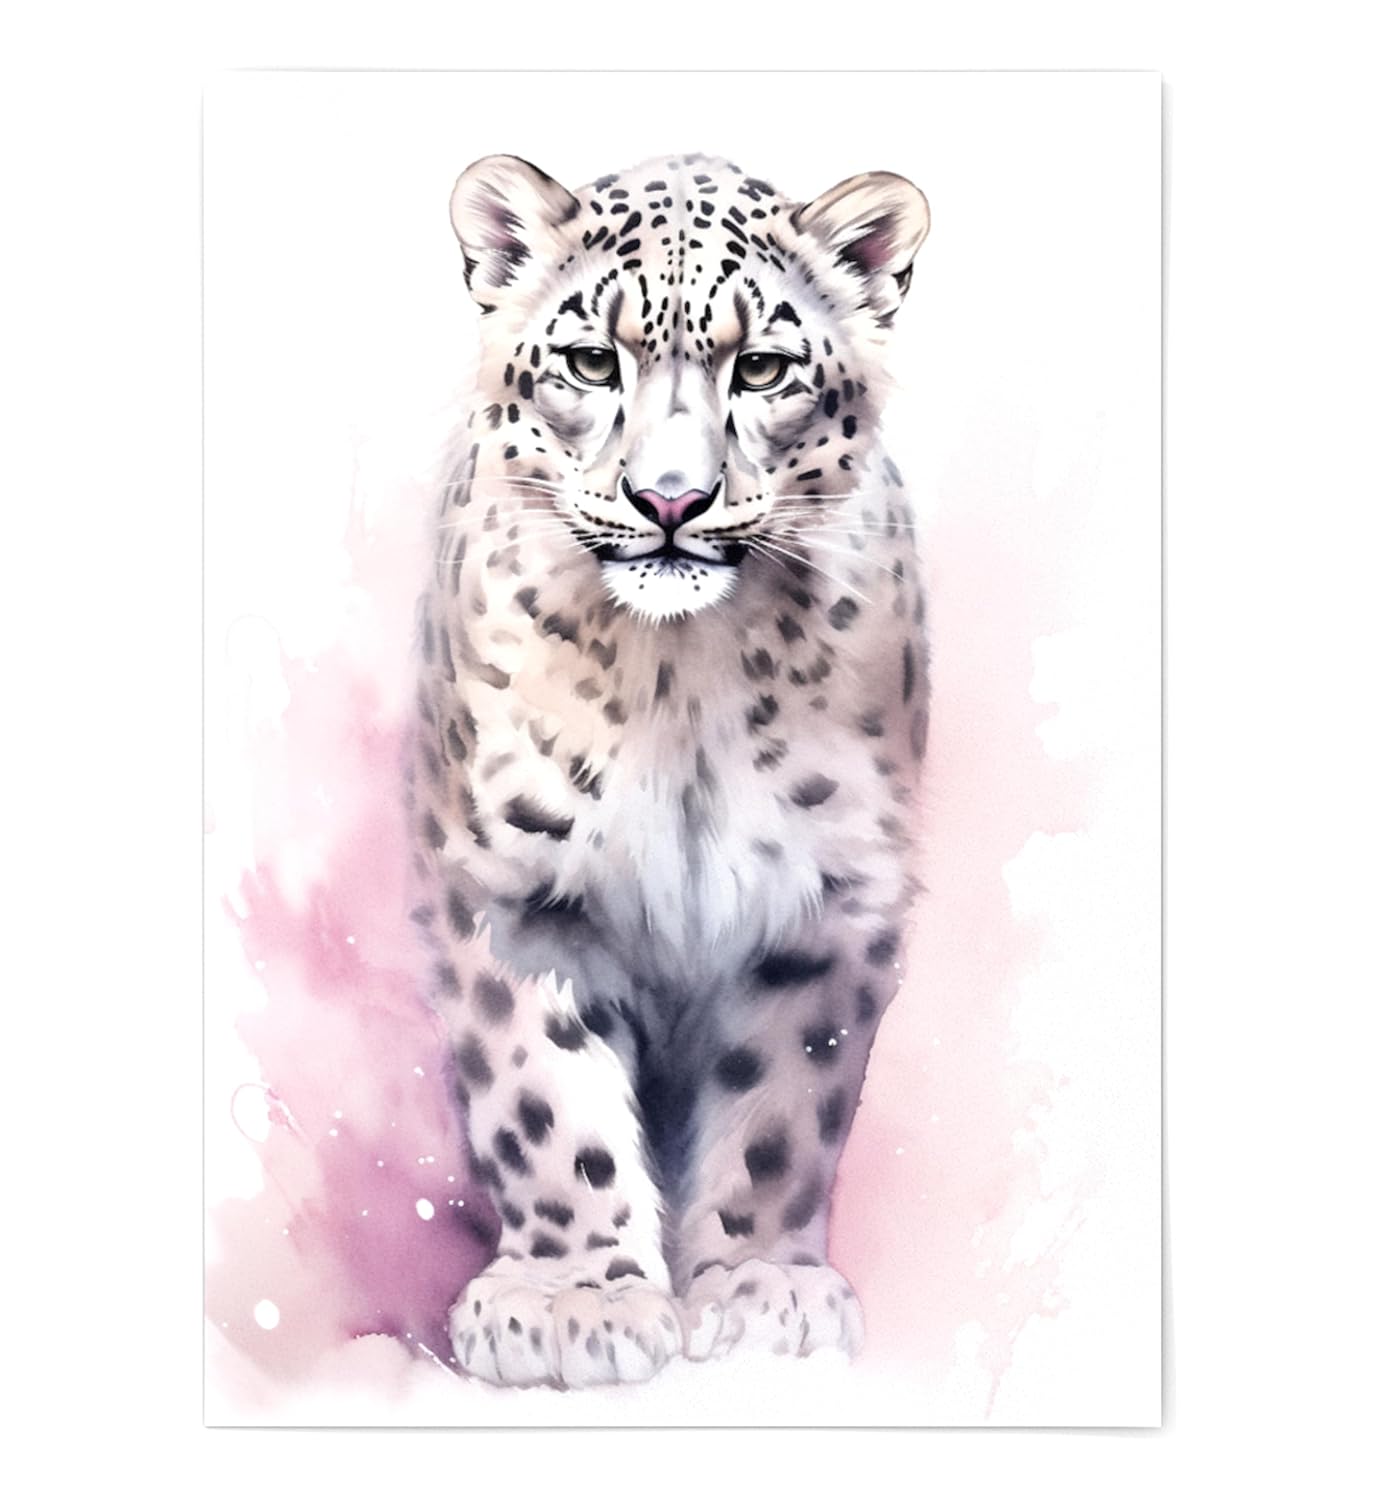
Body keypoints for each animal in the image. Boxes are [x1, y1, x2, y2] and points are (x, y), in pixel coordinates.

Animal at [407, 150, 931, 1388]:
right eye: (592, 361)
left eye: (764, 367)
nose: (671, 500)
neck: (678, 681)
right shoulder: (516, 891)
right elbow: (543, 1096)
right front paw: (570, 1303)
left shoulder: (829, 894)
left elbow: (782, 1111)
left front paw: (758, 1291)